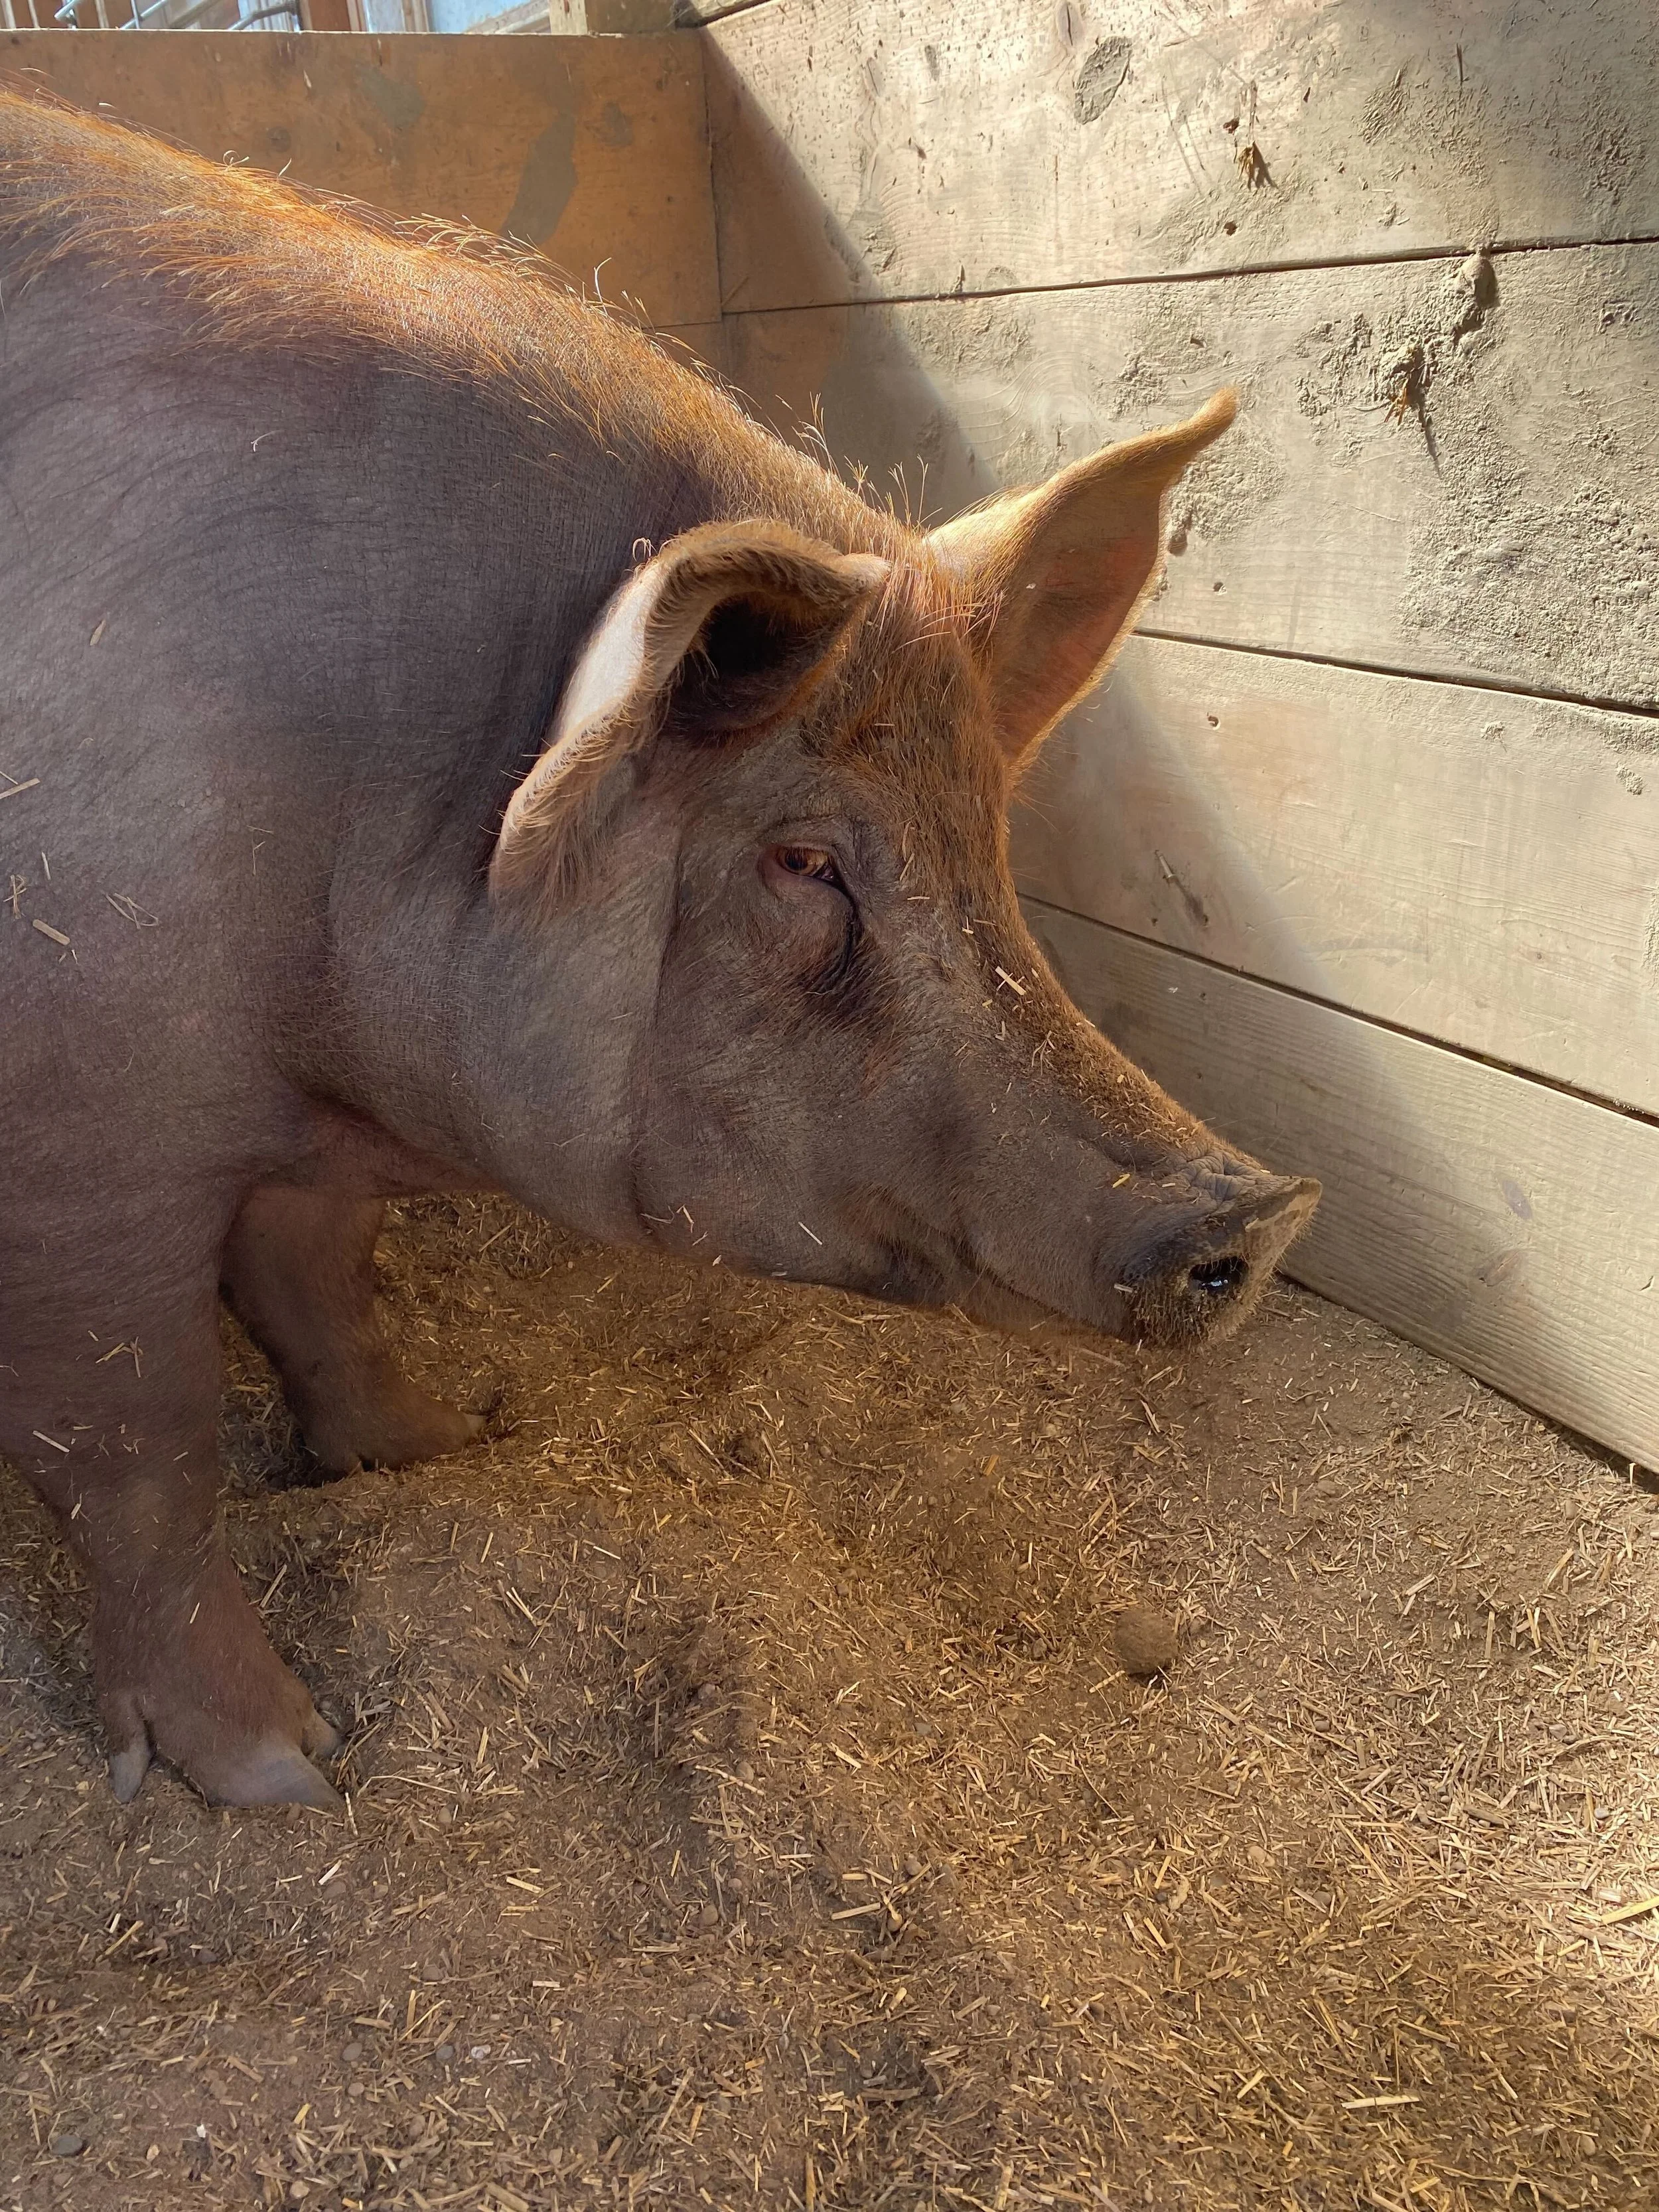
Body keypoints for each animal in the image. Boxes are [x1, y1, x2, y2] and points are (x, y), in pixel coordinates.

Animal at [0, 93, 1317, 1811]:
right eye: (802, 860)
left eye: (987, 833)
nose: (1262, 1208)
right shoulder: (74, 1149)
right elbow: (142, 1450)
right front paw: (293, 1770)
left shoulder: (315, 1125)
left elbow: (319, 1280)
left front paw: (441, 1447)